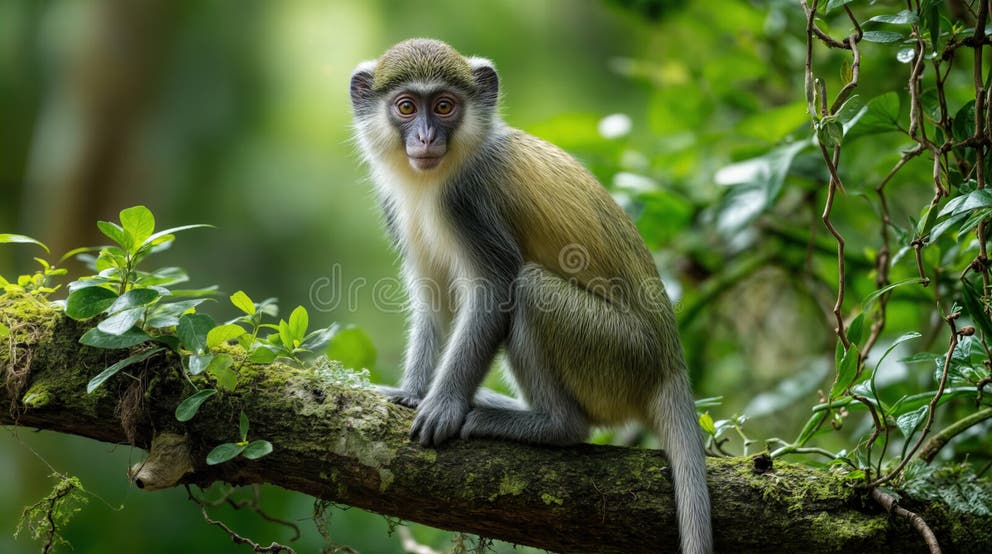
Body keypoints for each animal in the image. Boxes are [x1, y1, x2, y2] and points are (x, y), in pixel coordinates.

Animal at [350, 39, 712, 554]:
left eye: (444, 106)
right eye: (405, 107)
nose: (424, 138)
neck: (436, 179)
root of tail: (668, 365)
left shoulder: (470, 201)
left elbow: (495, 290)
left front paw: (443, 406)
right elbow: (434, 300)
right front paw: (413, 394)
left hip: (620, 356)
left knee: (531, 289)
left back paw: (551, 425)